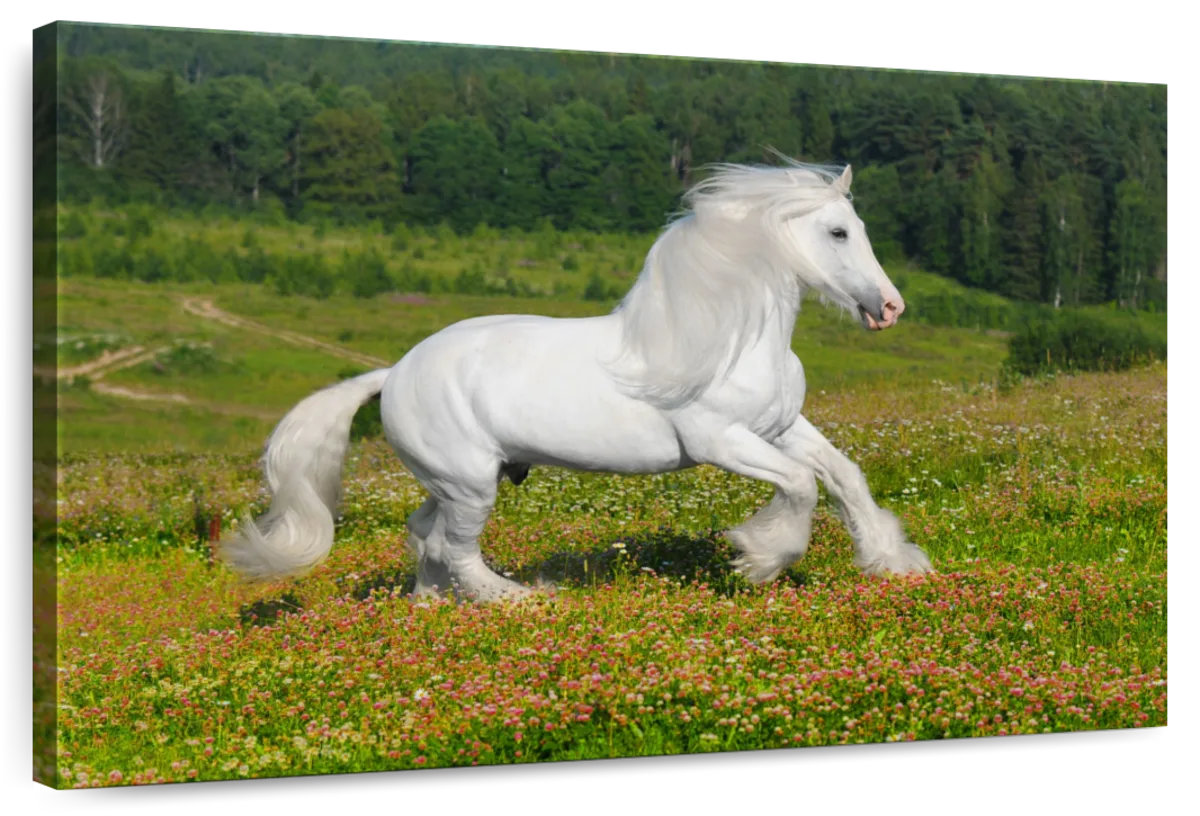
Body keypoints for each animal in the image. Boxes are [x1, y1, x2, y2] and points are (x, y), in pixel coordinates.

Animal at [220, 160, 933, 600]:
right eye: (837, 232)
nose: (890, 308)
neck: (729, 338)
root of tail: (393, 372)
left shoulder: (781, 426)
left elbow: (842, 475)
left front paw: (895, 564)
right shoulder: (720, 441)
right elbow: (802, 486)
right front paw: (759, 558)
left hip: (451, 482)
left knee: (424, 535)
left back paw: (432, 606)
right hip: (470, 483)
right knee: (457, 549)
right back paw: (521, 599)